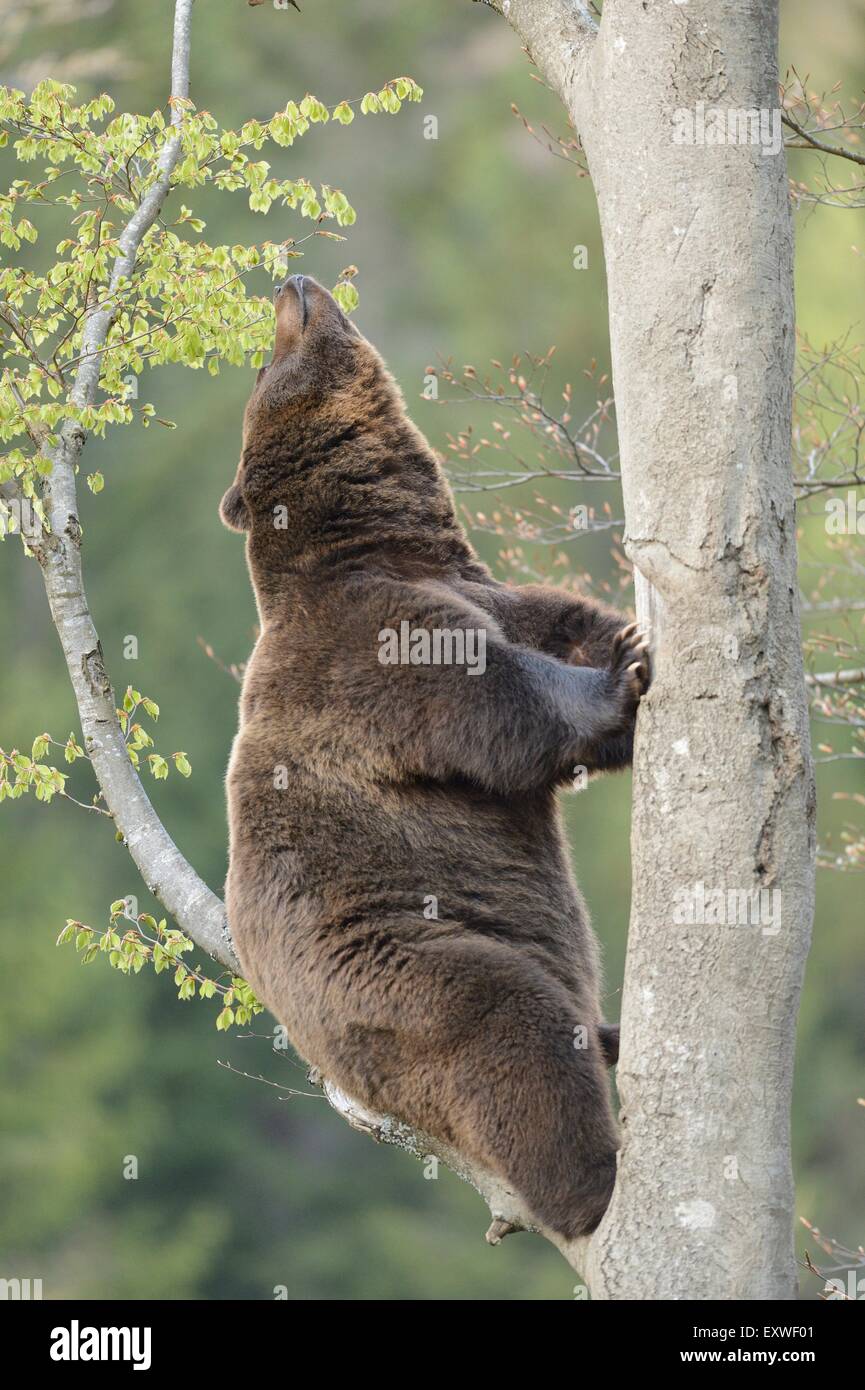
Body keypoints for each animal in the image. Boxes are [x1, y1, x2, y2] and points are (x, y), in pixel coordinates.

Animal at [219, 273, 649, 1239]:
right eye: (263, 363)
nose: (291, 282)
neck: (381, 541)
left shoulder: (483, 588)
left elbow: (559, 619)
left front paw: (632, 638)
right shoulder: (363, 653)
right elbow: (489, 704)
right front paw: (620, 682)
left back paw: (610, 1036)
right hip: (396, 974)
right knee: (509, 1031)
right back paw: (589, 1186)